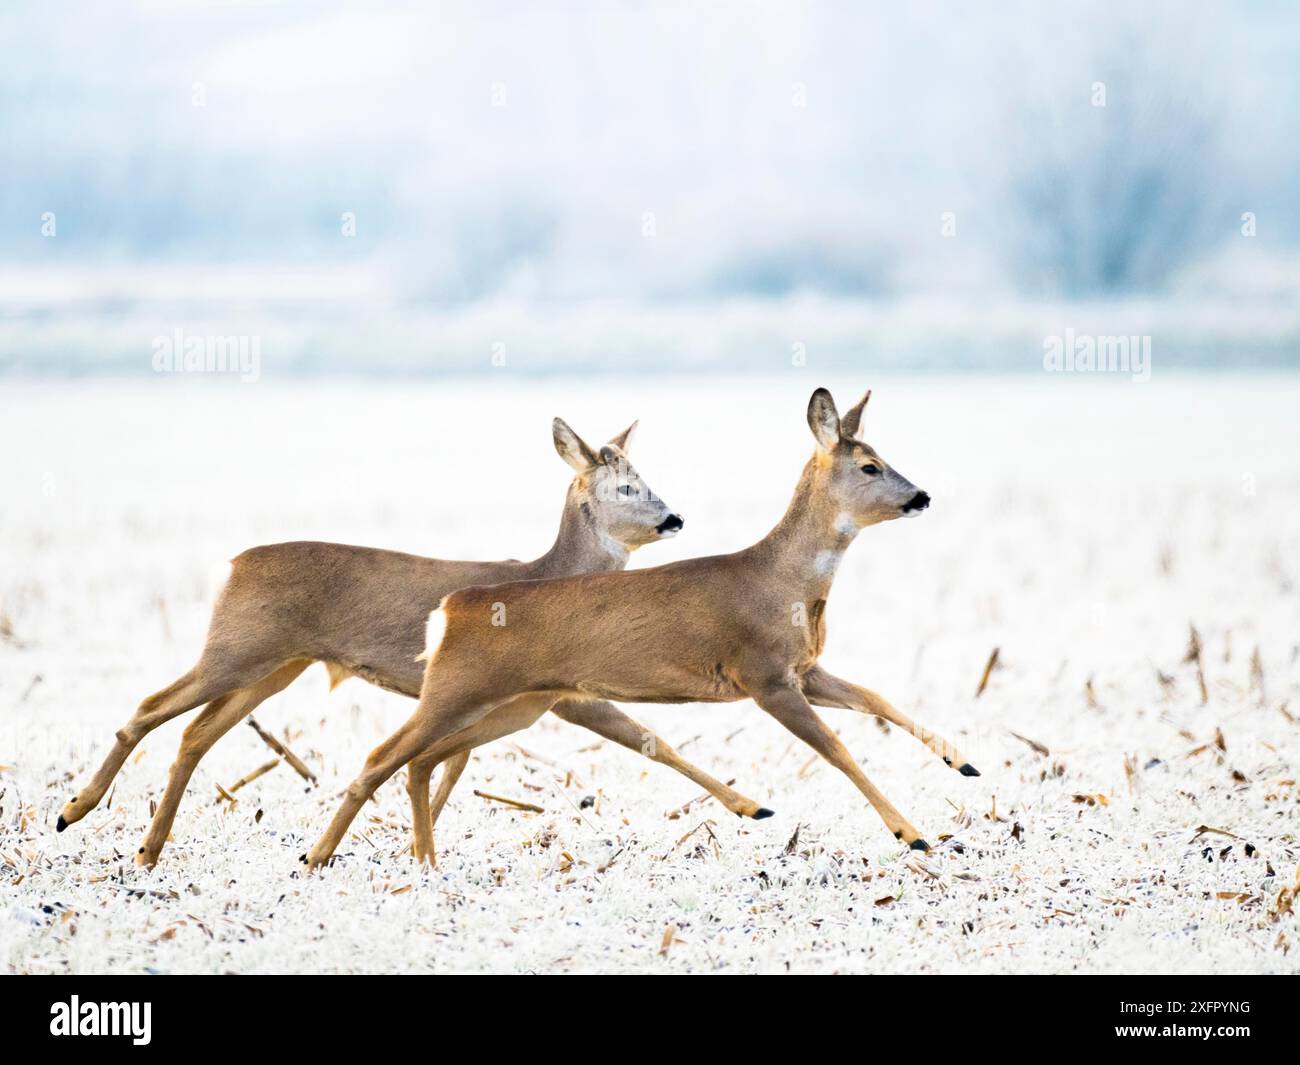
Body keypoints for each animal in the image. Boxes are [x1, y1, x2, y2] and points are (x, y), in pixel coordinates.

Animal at [57, 417, 773, 868]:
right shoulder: (565, 694)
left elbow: (448, 764)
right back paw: (74, 810)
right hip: (237, 649)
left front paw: (415, 845)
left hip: (275, 666)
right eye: (627, 487)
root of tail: (230, 566)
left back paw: (146, 849)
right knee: (152, 708)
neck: (554, 573)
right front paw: (751, 806)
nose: (674, 518)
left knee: (194, 733)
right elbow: (653, 741)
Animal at [301, 387, 980, 871]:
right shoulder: (763, 675)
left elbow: (876, 698)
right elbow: (837, 750)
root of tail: (451, 607)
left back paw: (419, 862)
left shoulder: (804, 669)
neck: (781, 582)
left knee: (422, 760)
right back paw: (318, 859)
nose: (921, 496)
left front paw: (963, 763)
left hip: (519, 703)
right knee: (382, 755)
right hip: (460, 690)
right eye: (869, 466)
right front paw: (914, 835)